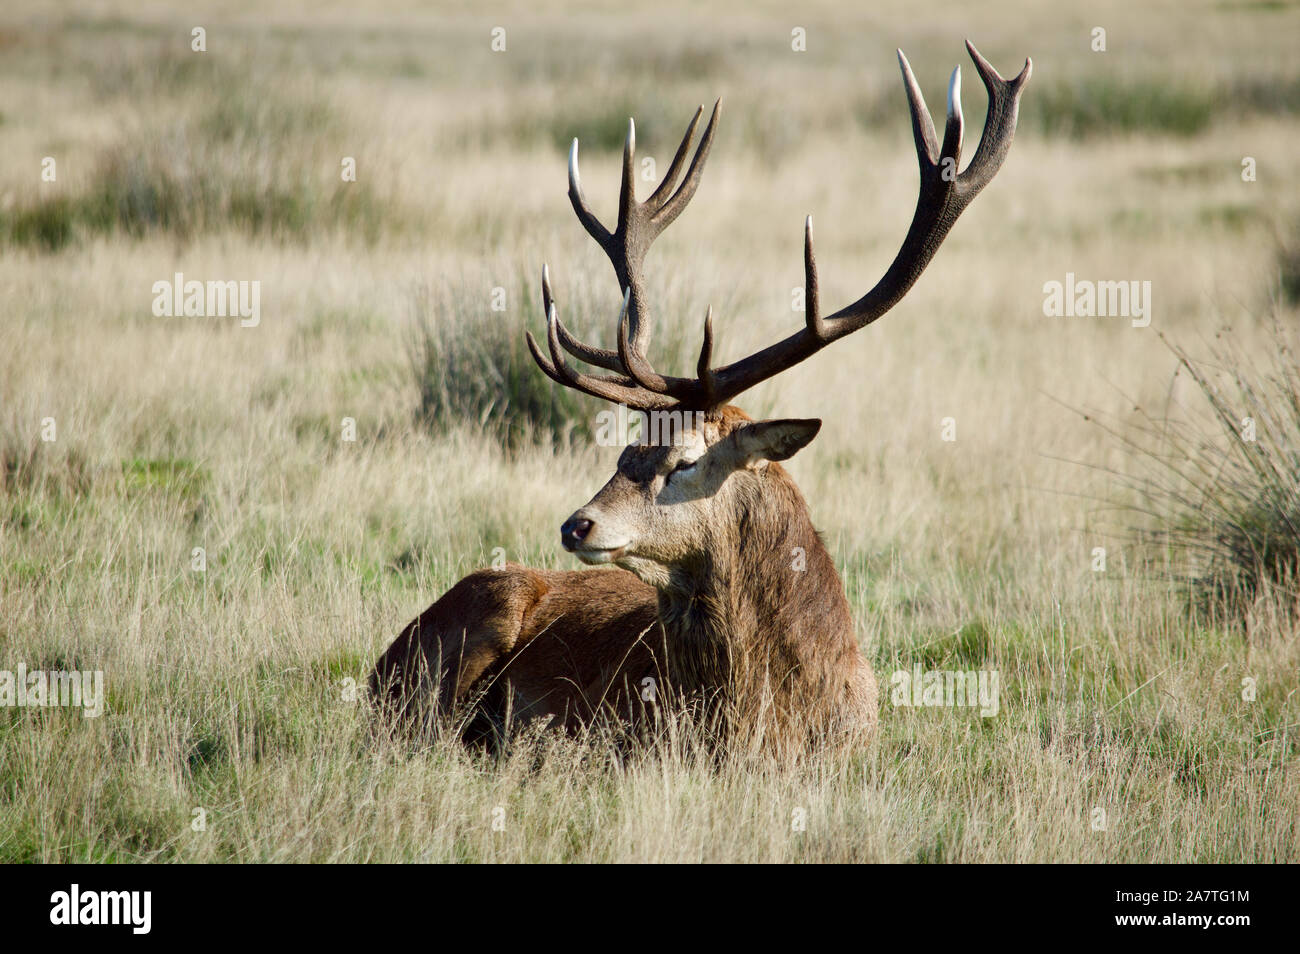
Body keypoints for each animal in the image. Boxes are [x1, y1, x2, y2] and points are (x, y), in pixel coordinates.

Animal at [370, 41, 1031, 756]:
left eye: (684, 460)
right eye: (625, 451)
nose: (578, 524)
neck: (765, 720)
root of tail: (379, 665)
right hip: (478, 615)